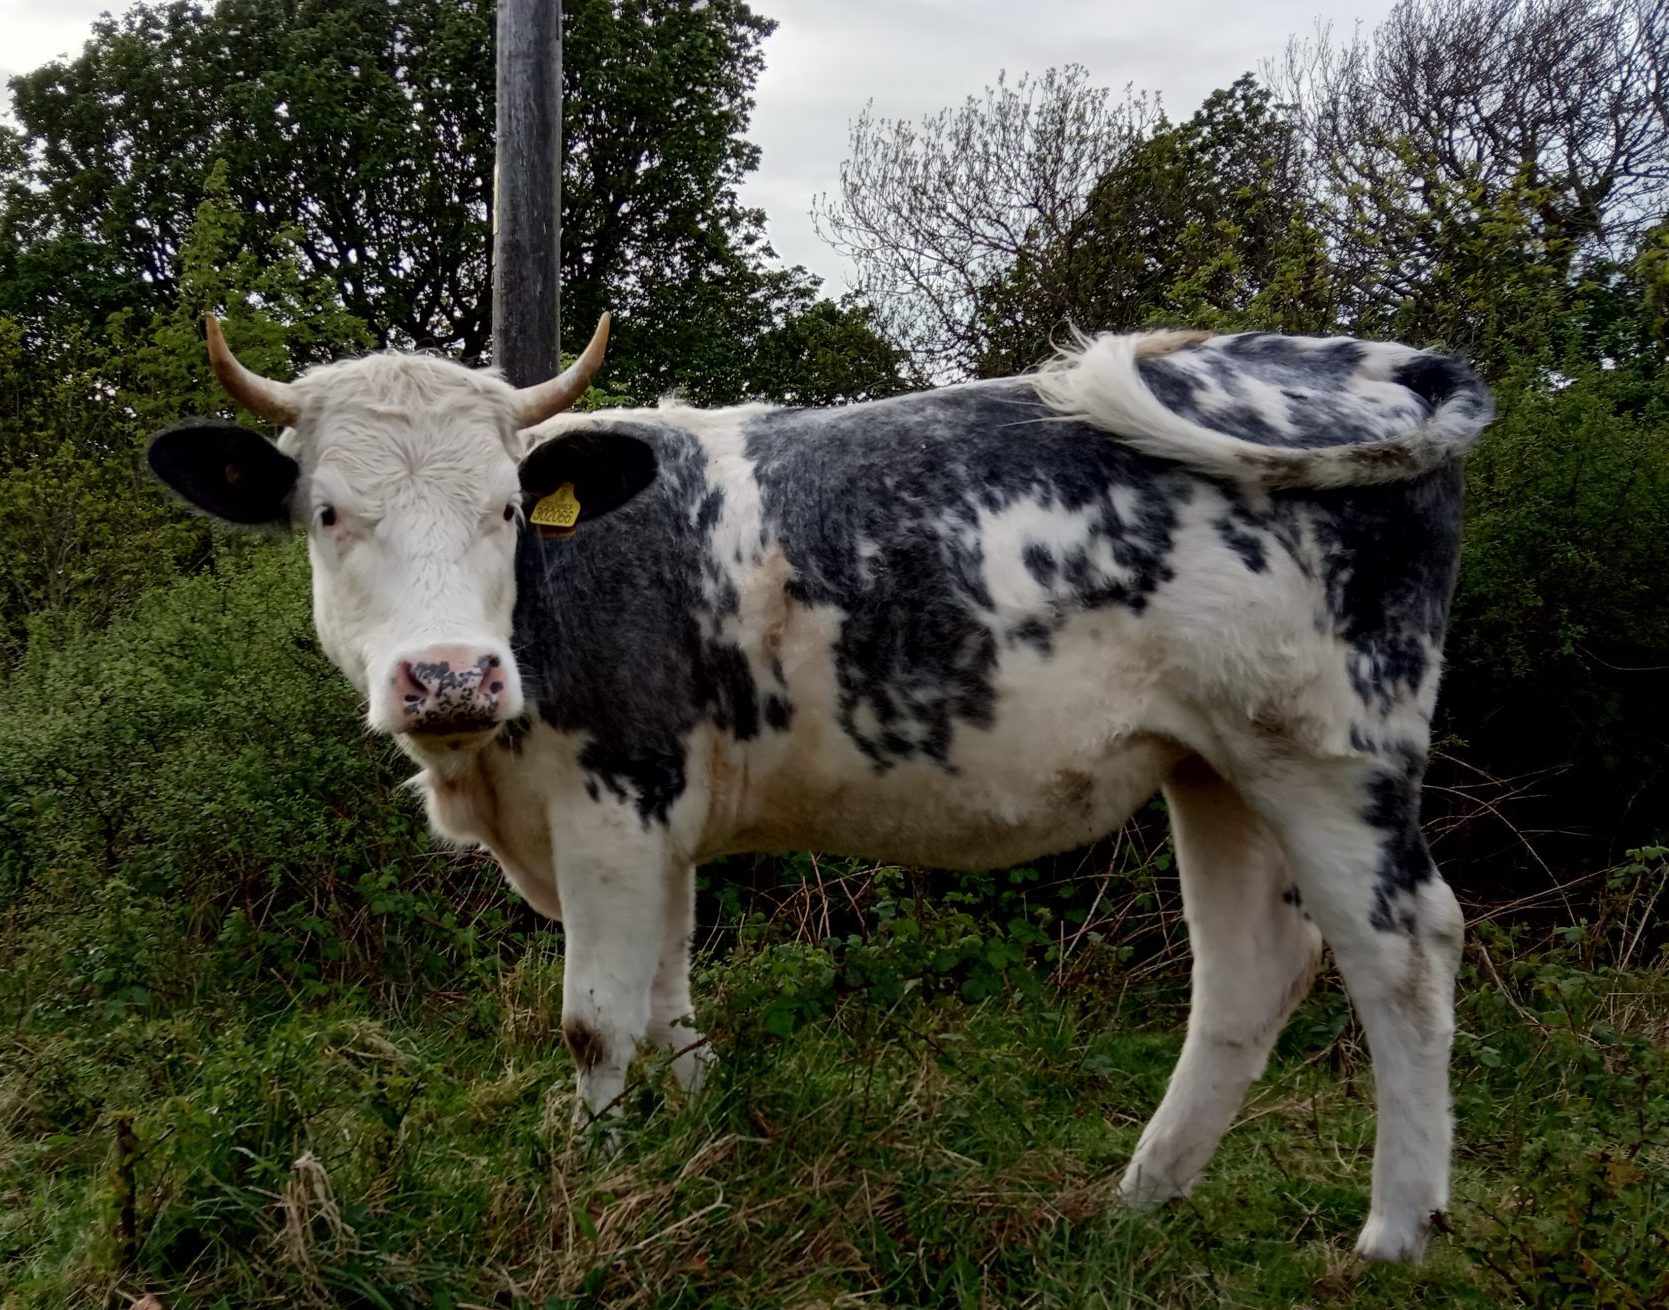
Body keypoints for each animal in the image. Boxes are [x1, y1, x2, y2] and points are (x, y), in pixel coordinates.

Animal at [147, 314, 1493, 1262]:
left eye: (506, 508)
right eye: (328, 511)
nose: (447, 675)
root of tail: (1365, 355)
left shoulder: (614, 797)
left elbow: (597, 1018)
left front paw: (591, 1181)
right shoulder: (663, 821)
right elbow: (671, 1002)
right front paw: (696, 1141)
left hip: (1327, 750)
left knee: (1402, 951)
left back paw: (1391, 1233)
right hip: (1213, 762)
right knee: (1250, 968)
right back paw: (1137, 1201)